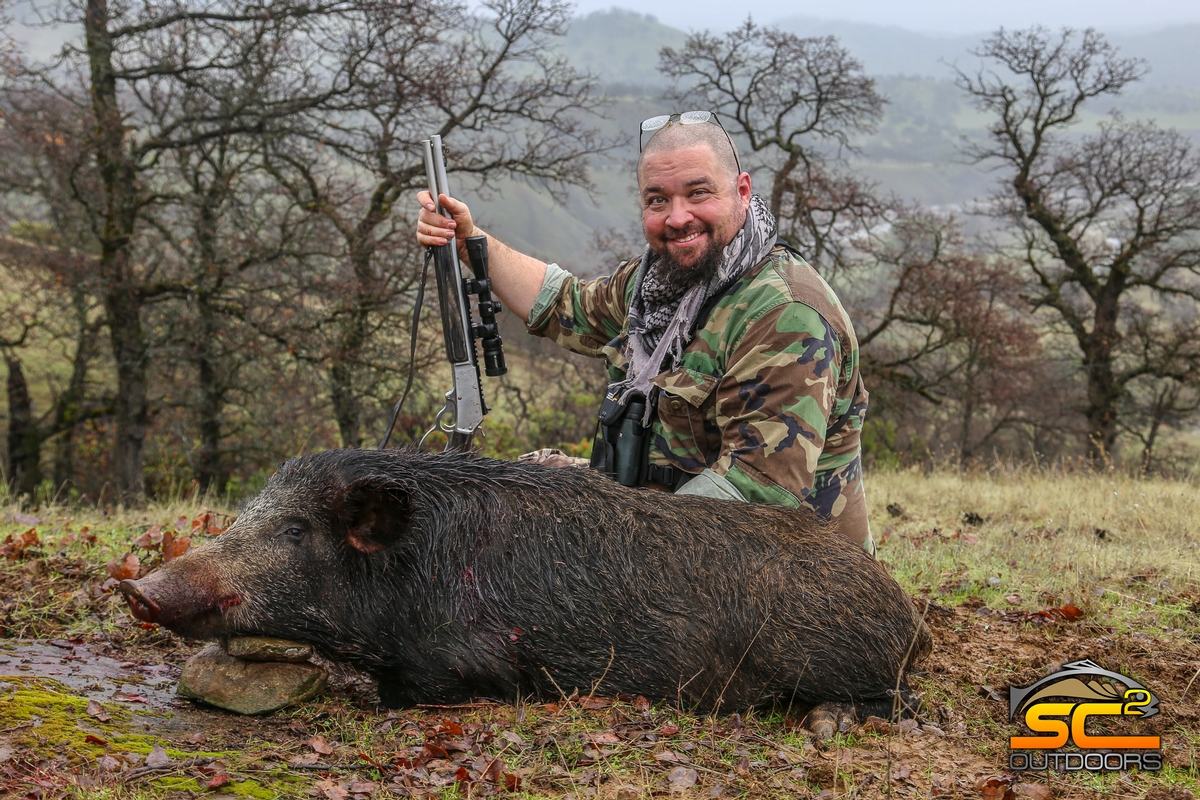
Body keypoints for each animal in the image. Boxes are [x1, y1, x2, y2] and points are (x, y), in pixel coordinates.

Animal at [121, 448, 931, 715]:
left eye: (295, 531)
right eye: (251, 508)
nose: (137, 588)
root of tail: (908, 613)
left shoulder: (467, 662)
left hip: (833, 654)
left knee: (895, 702)